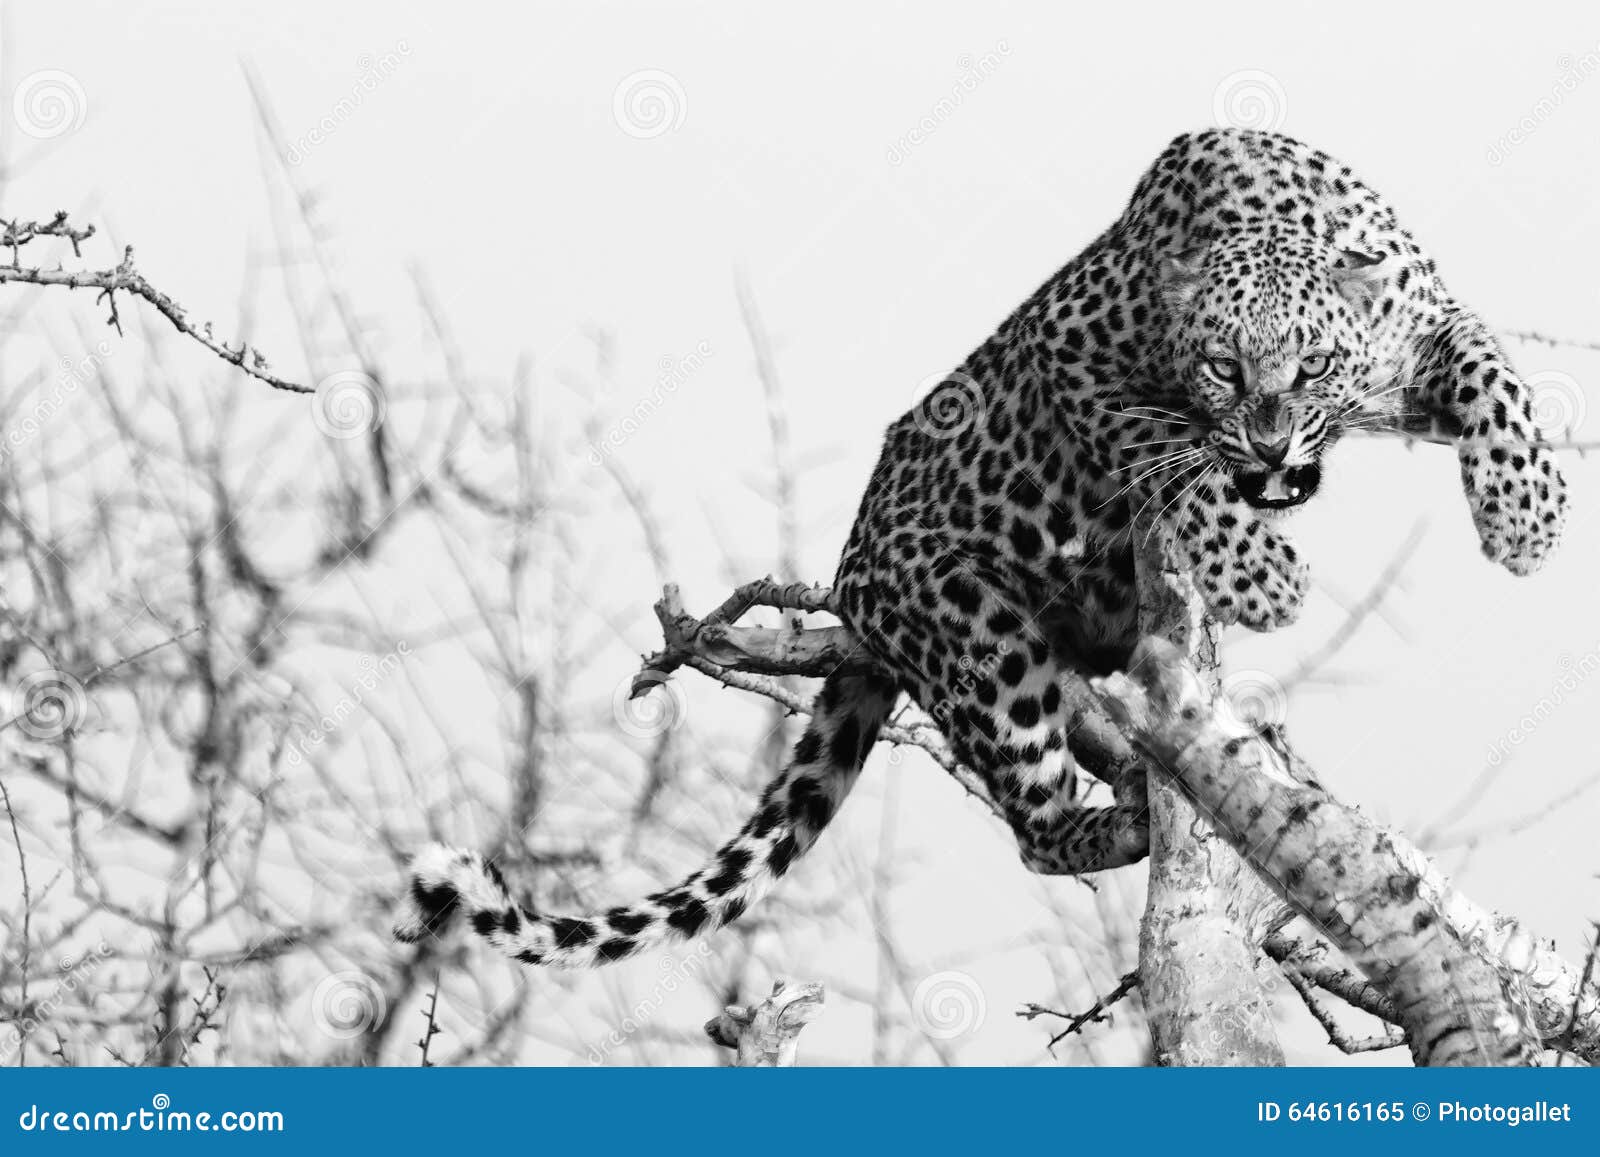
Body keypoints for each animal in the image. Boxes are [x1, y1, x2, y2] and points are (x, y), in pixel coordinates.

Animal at [396, 127, 1568, 967]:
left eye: (1314, 363)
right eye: (1225, 370)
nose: (1274, 441)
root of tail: (851, 583)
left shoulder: (1422, 330)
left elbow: (1492, 371)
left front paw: (1528, 517)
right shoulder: (1077, 363)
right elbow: (1171, 461)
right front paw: (1265, 574)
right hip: (981, 642)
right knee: (1034, 823)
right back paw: (1129, 818)